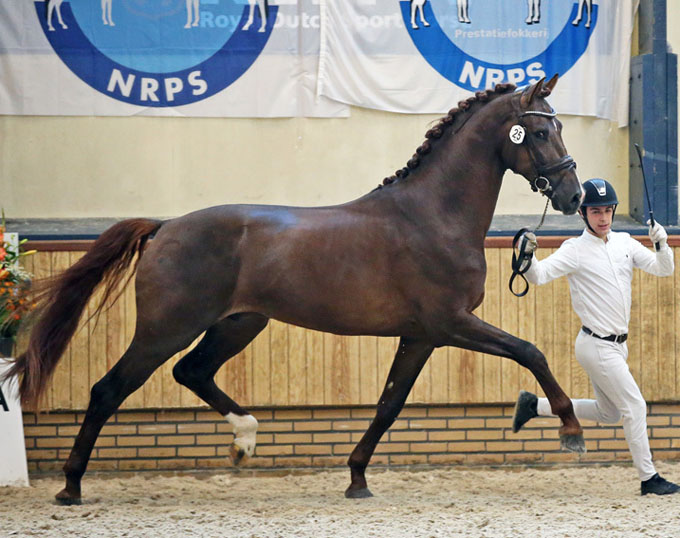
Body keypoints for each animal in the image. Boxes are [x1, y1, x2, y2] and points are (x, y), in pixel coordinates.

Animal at [6, 76, 585, 504]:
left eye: (560, 127)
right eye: (538, 133)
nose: (574, 195)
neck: (433, 215)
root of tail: (165, 226)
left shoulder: (422, 335)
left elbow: (388, 405)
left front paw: (357, 480)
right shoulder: (452, 323)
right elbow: (530, 351)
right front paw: (571, 430)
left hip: (239, 323)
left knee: (191, 371)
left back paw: (244, 439)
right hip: (165, 329)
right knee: (109, 390)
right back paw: (70, 487)